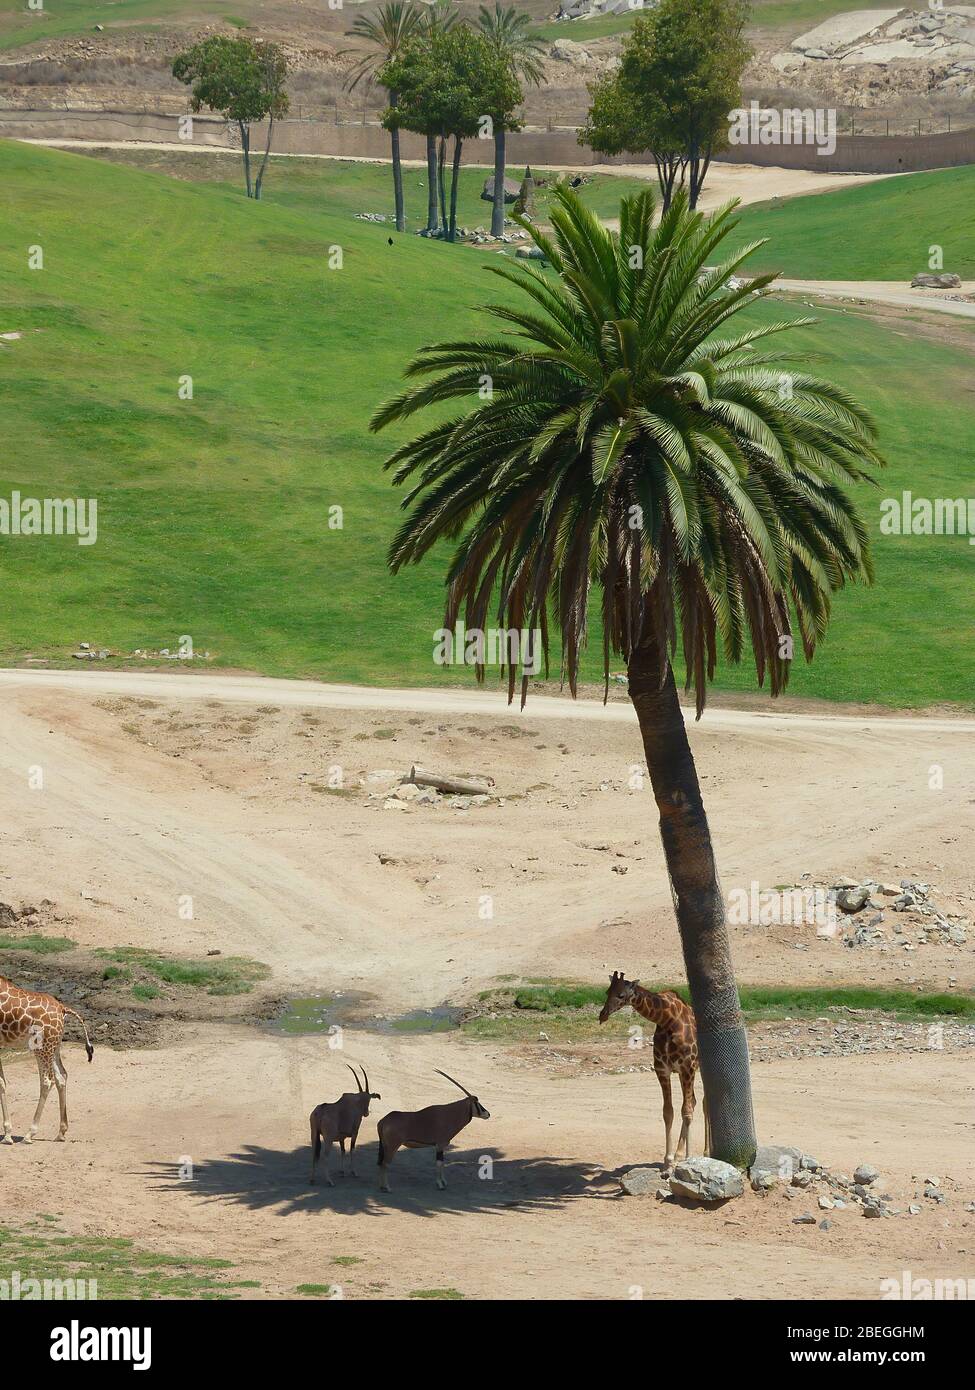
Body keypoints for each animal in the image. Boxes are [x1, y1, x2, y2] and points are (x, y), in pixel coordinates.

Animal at [0, 975, 93, 1144]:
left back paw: (30, 1134)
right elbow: (2, 1082)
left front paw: (8, 1135)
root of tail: (62, 1009)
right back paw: (61, 1132)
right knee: (61, 1076)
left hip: (41, 1047)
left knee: (47, 1081)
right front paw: (8, 1134)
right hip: (54, 1046)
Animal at [599, 970, 708, 1171]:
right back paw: (681, 1155)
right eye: (607, 992)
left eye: (621, 995)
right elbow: (668, 1112)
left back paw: (705, 1152)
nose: (602, 1015)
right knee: (696, 1101)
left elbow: (686, 1111)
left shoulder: (687, 1066)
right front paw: (669, 1161)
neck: (668, 1020)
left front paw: (687, 1159)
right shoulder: (663, 1069)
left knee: (703, 1103)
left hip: (699, 1067)